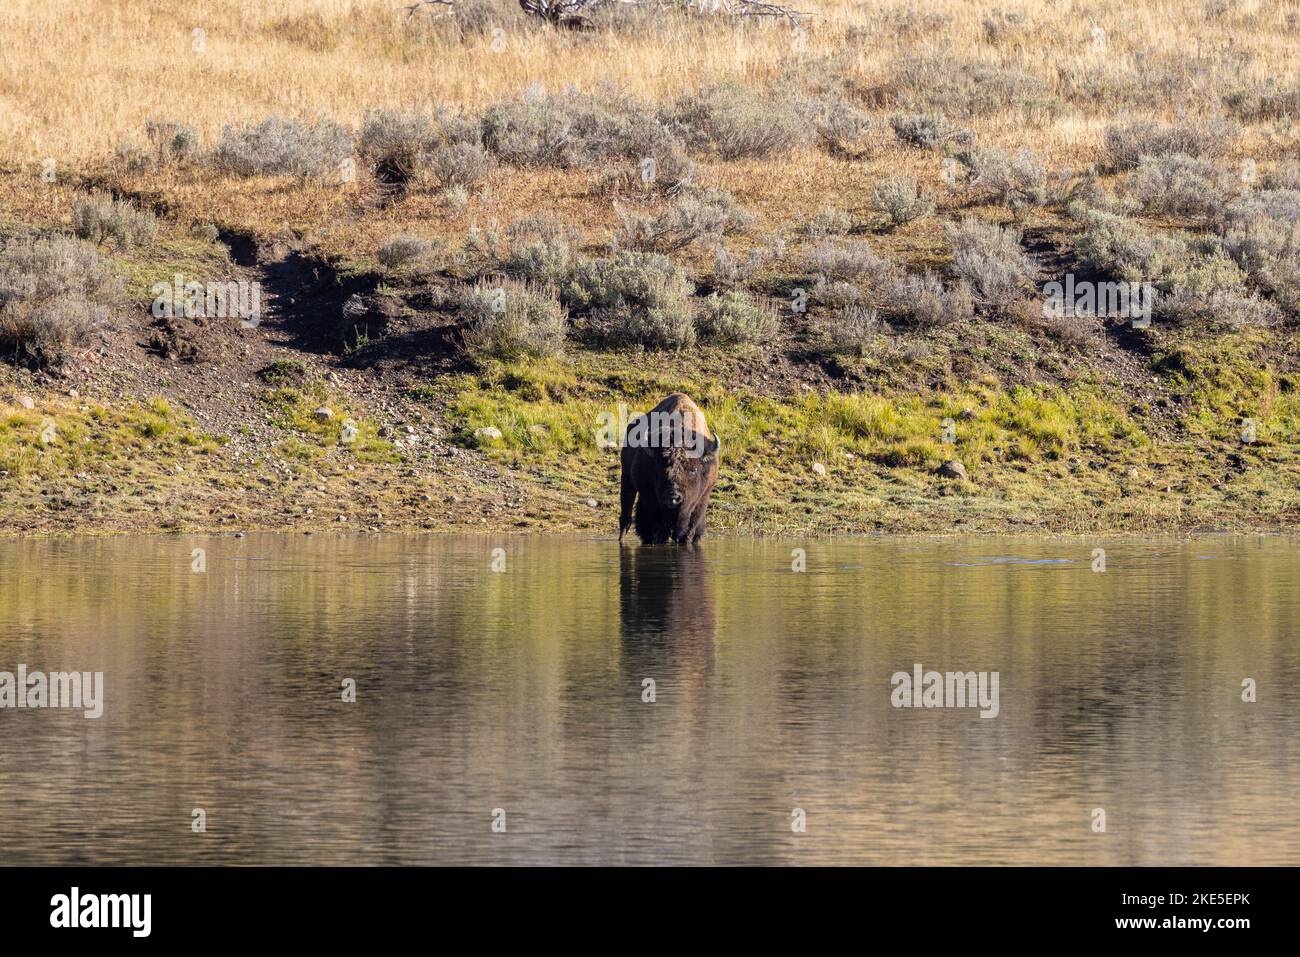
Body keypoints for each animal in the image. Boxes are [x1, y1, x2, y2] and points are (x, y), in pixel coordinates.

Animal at [618, 392, 720, 545]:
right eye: (659, 470)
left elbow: (690, 530)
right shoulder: (650, 499)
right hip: (627, 480)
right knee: (626, 518)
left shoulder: (702, 499)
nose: (672, 498)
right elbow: (657, 530)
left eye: (693, 470)